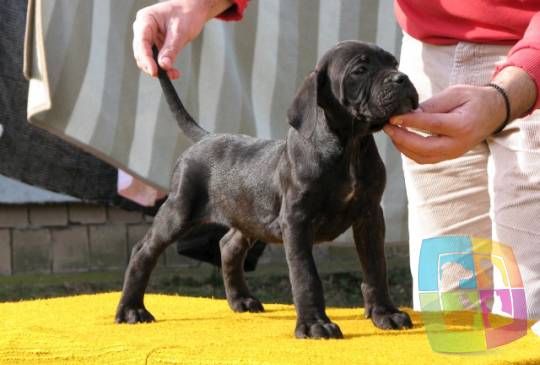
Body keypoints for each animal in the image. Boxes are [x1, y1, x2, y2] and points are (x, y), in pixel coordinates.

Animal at [116, 40, 420, 338]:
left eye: (394, 63)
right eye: (360, 70)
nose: (402, 78)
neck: (350, 147)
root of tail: (206, 138)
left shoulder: (370, 215)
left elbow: (376, 266)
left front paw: (385, 313)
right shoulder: (297, 221)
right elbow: (305, 275)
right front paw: (315, 325)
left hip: (248, 215)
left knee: (228, 245)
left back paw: (240, 300)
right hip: (180, 208)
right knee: (143, 250)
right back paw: (132, 310)